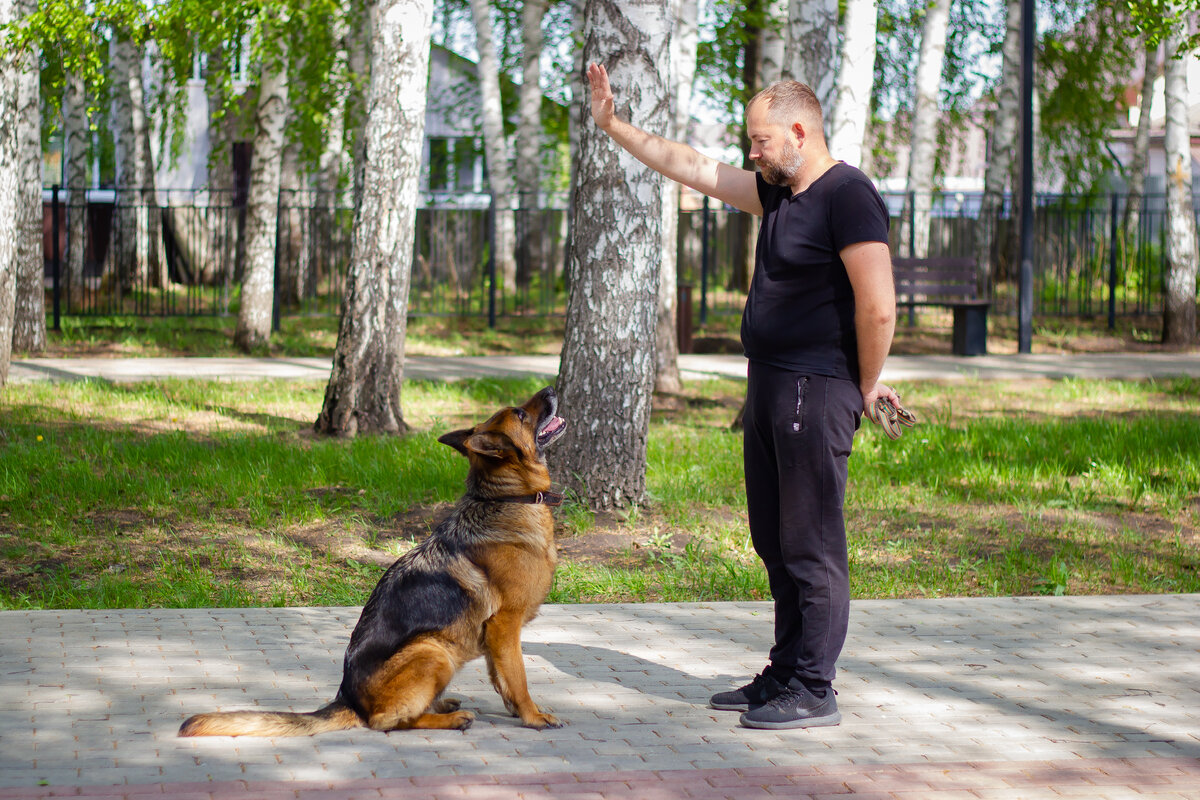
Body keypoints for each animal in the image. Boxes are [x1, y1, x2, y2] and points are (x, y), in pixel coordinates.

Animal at [177, 388, 566, 738]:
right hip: (433, 651)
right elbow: (518, 678)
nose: (551, 389)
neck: (505, 497)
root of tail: (348, 700)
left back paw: (442, 704)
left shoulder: (496, 639)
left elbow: (502, 679)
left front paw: (516, 710)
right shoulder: (505, 626)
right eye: (520, 413)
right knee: (387, 721)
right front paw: (533, 716)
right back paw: (450, 718)